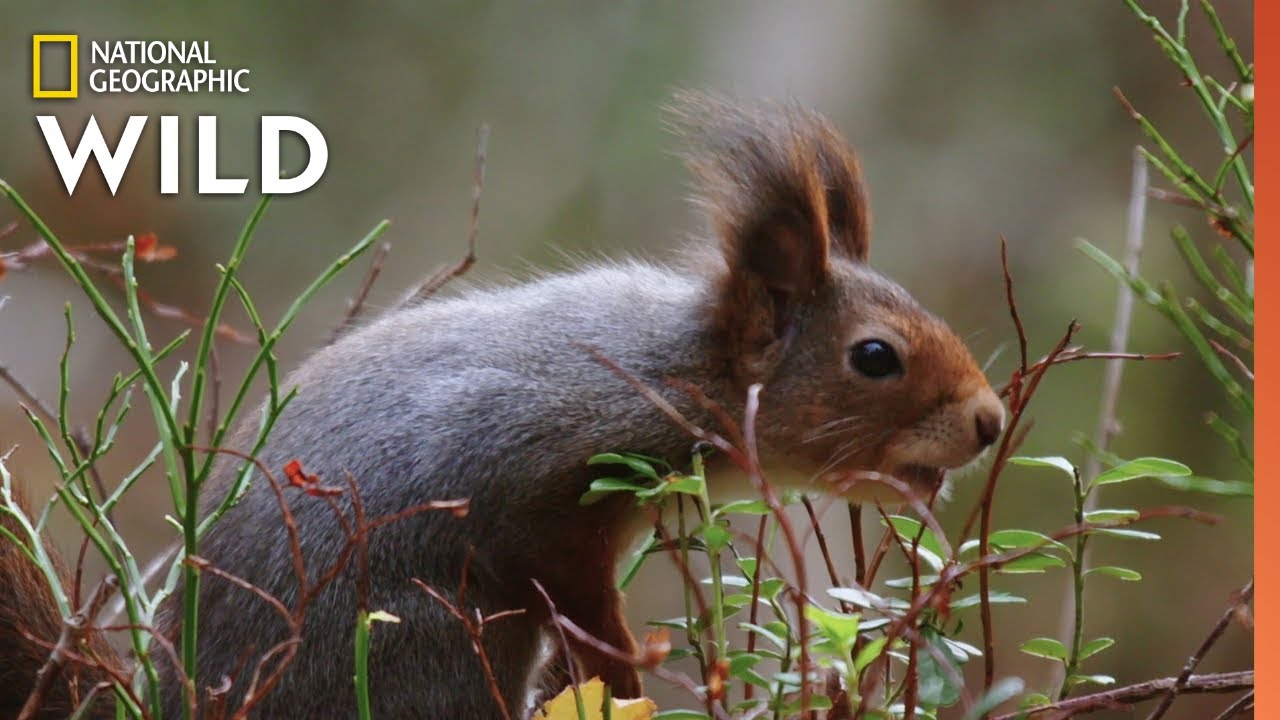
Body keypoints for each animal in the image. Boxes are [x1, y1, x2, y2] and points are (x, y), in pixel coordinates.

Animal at [1, 93, 1004, 719]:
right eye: (874, 357)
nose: (991, 421)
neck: (679, 370)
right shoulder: (538, 475)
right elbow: (572, 591)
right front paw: (625, 675)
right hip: (431, 644)